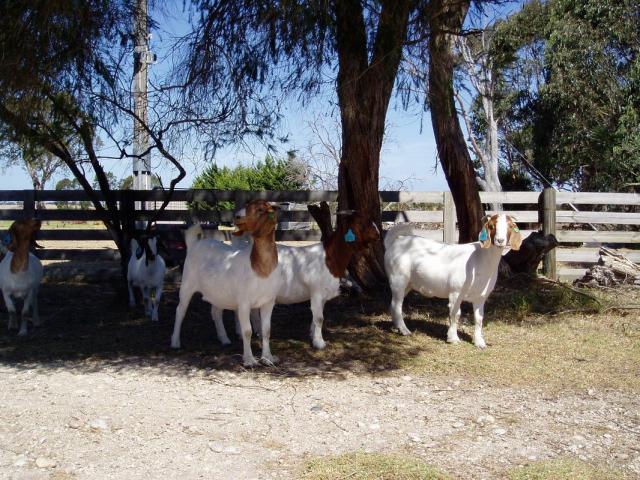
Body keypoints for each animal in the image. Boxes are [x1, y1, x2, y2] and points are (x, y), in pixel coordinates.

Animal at [170, 199, 282, 367]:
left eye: (261, 209)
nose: (237, 216)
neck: (260, 268)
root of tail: (194, 243)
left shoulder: (268, 301)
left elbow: (266, 330)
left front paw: (268, 358)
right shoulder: (244, 302)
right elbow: (247, 331)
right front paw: (249, 360)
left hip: (217, 292)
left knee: (216, 312)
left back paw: (224, 339)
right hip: (187, 284)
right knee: (180, 311)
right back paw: (175, 342)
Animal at [214, 211, 381, 349]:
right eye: (361, 222)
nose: (378, 234)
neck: (330, 257)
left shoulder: (322, 294)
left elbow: (316, 317)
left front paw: (313, 336)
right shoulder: (316, 291)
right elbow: (319, 318)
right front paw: (320, 343)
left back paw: (248, 333)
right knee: (217, 311)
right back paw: (224, 338)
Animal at [384, 214, 522, 348]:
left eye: (510, 226)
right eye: (492, 226)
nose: (500, 241)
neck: (480, 259)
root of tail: (397, 240)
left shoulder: (481, 297)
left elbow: (479, 318)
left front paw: (479, 342)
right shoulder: (456, 292)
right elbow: (455, 314)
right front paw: (453, 338)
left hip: (408, 283)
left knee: (393, 305)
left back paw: (397, 328)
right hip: (398, 279)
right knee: (397, 304)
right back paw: (405, 330)